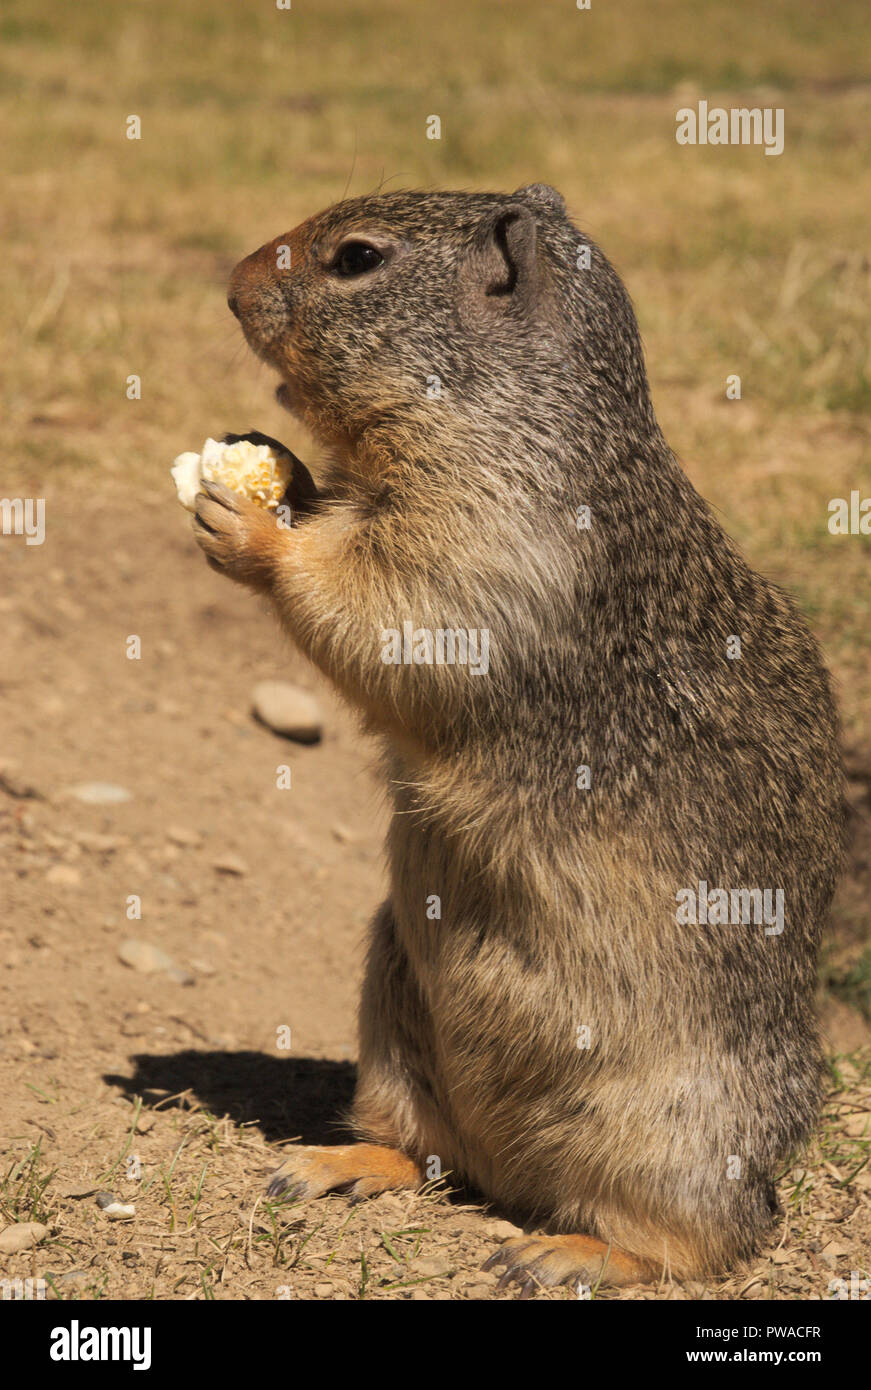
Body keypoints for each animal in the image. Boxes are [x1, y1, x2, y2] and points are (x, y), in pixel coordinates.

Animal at [192, 183, 846, 1293]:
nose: (232, 287)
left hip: (677, 1128)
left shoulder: (487, 537)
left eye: (356, 257)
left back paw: (564, 1252)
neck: (503, 412)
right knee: (425, 1154)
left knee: (707, 1240)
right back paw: (334, 1165)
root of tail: (512, 1177)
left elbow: (386, 607)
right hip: (389, 1018)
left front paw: (250, 523)